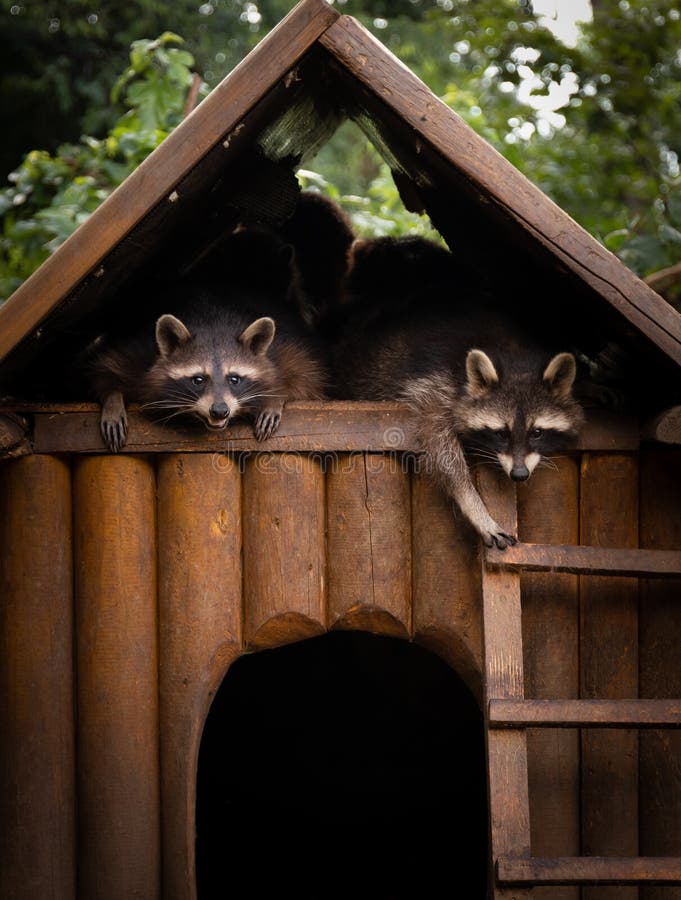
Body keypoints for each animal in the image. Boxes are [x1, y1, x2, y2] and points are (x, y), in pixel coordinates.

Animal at [333, 236, 584, 549]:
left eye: (537, 432)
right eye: (500, 432)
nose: (519, 474)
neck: (512, 354)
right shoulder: (436, 385)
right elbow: (438, 445)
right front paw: (471, 501)